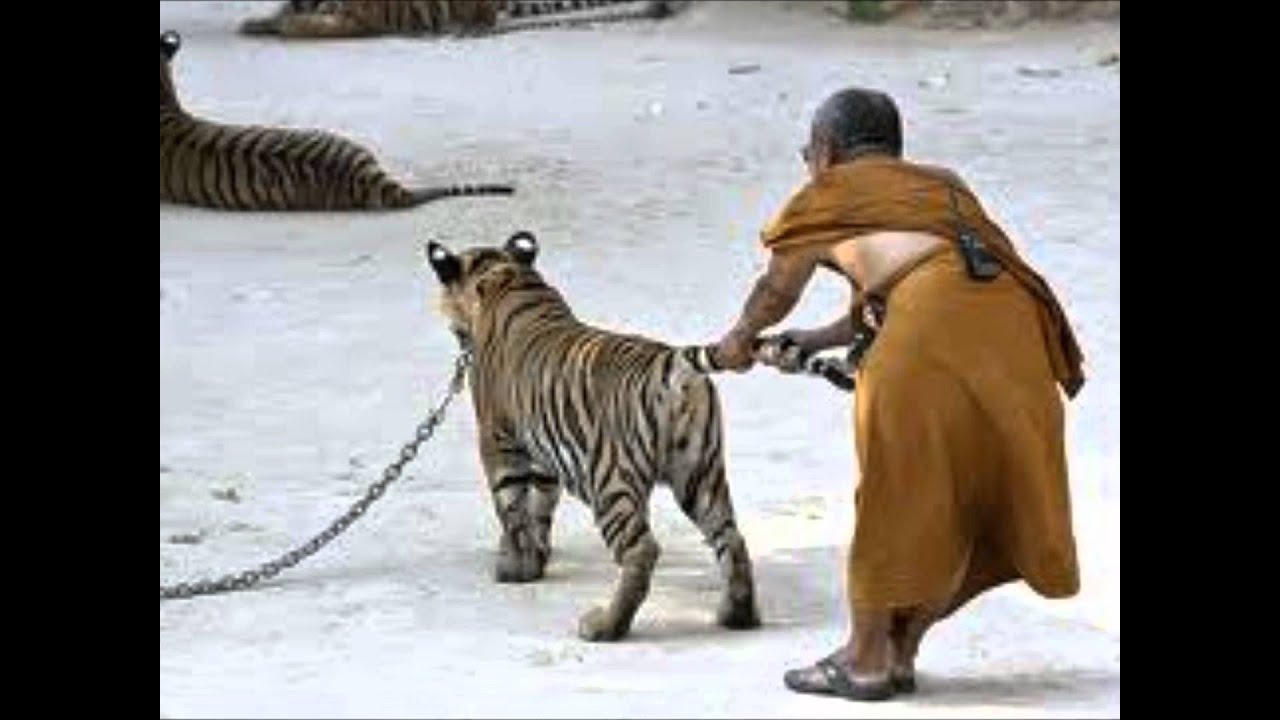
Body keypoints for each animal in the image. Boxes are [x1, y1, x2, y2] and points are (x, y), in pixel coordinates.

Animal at [425, 231, 761, 641]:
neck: (503, 273)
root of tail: (672, 362)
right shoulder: (545, 452)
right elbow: (540, 506)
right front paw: (537, 557)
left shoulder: (497, 442)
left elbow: (511, 509)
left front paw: (515, 569)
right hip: (700, 474)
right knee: (731, 539)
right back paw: (737, 614)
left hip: (611, 481)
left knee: (642, 551)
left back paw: (605, 626)